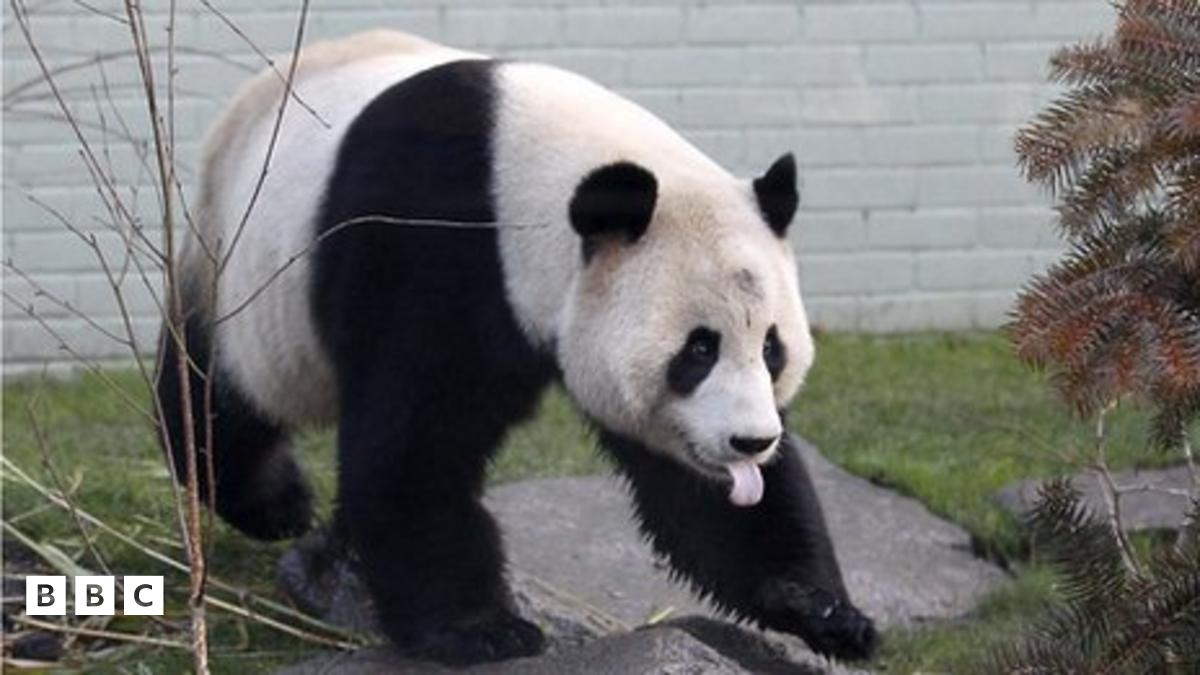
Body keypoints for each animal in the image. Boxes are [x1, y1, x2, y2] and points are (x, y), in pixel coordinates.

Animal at [158, 30, 876, 665]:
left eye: (772, 348)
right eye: (698, 350)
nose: (750, 443)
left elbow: (696, 498)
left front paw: (824, 610)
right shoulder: (431, 243)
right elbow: (414, 447)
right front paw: (481, 631)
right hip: (240, 275)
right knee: (219, 394)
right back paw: (276, 502)